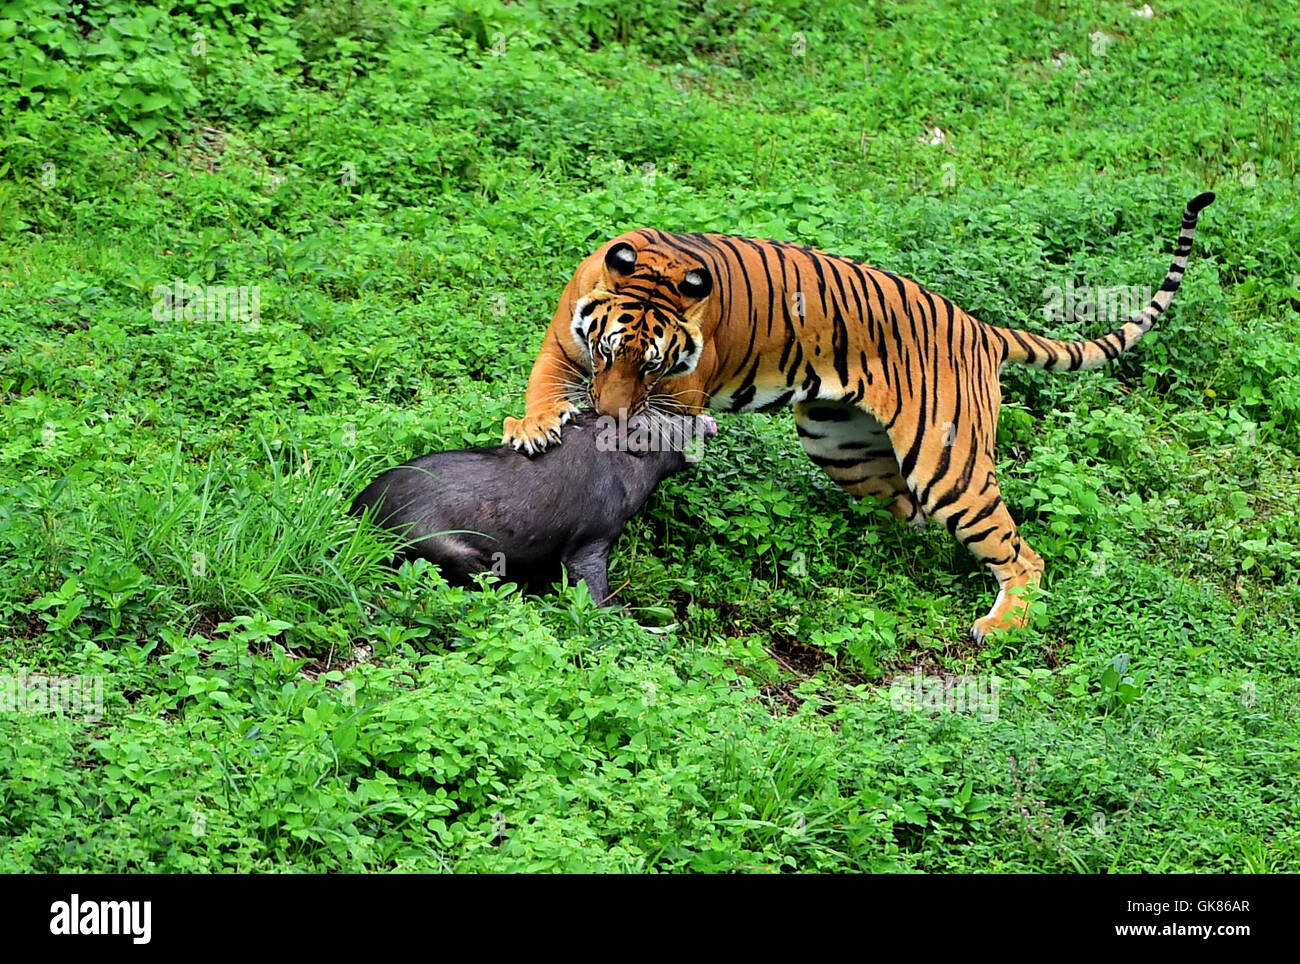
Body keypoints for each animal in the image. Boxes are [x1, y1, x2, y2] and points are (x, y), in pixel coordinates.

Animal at [502, 193, 1214, 640]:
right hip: (840, 444)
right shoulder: (562, 344)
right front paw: (534, 427)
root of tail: (979, 327)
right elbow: (542, 388)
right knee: (905, 517)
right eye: (606, 351)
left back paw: (1001, 625)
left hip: (948, 464)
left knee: (1020, 554)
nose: (606, 411)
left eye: (653, 366)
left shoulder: (679, 397)